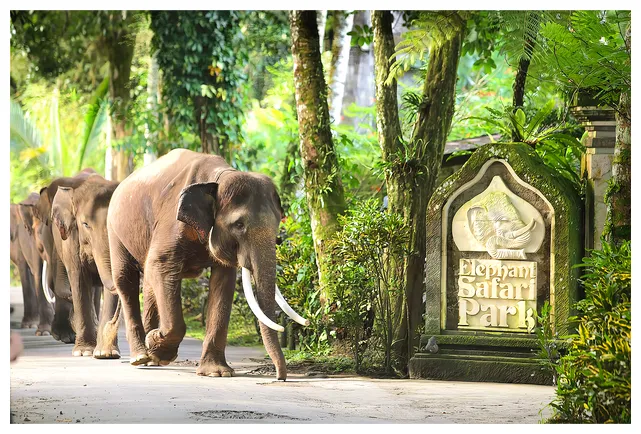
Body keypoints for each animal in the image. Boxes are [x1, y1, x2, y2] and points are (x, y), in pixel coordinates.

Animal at [107, 148, 307, 380]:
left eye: (277, 227)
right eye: (239, 225)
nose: (280, 377)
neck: (218, 177)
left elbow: (223, 281)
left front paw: (216, 373)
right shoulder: (171, 221)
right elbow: (161, 265)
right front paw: (158, 345)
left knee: (148, 283)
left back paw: (150, 358)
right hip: (114, 230)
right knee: (126, 280)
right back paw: (141, 356)